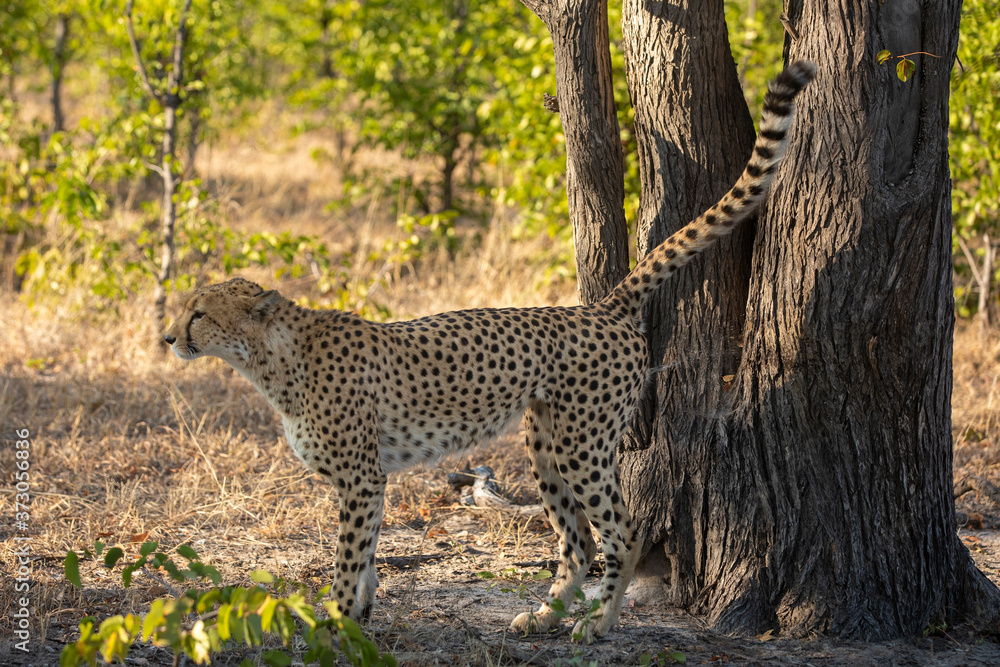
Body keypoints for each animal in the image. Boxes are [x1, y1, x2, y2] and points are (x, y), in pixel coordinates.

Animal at [163, 61, 815, 642]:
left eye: (199, 312)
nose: (169, 337)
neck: (271, 360)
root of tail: (600, 307)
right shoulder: (370, 479)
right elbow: (366, 555)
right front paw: (362, 617)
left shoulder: (361, 477)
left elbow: (349, 558)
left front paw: (338, 623)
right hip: (544, 441)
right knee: (577, 539)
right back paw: (546, 618)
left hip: (584, 443)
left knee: (622, 533)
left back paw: (597, 624)